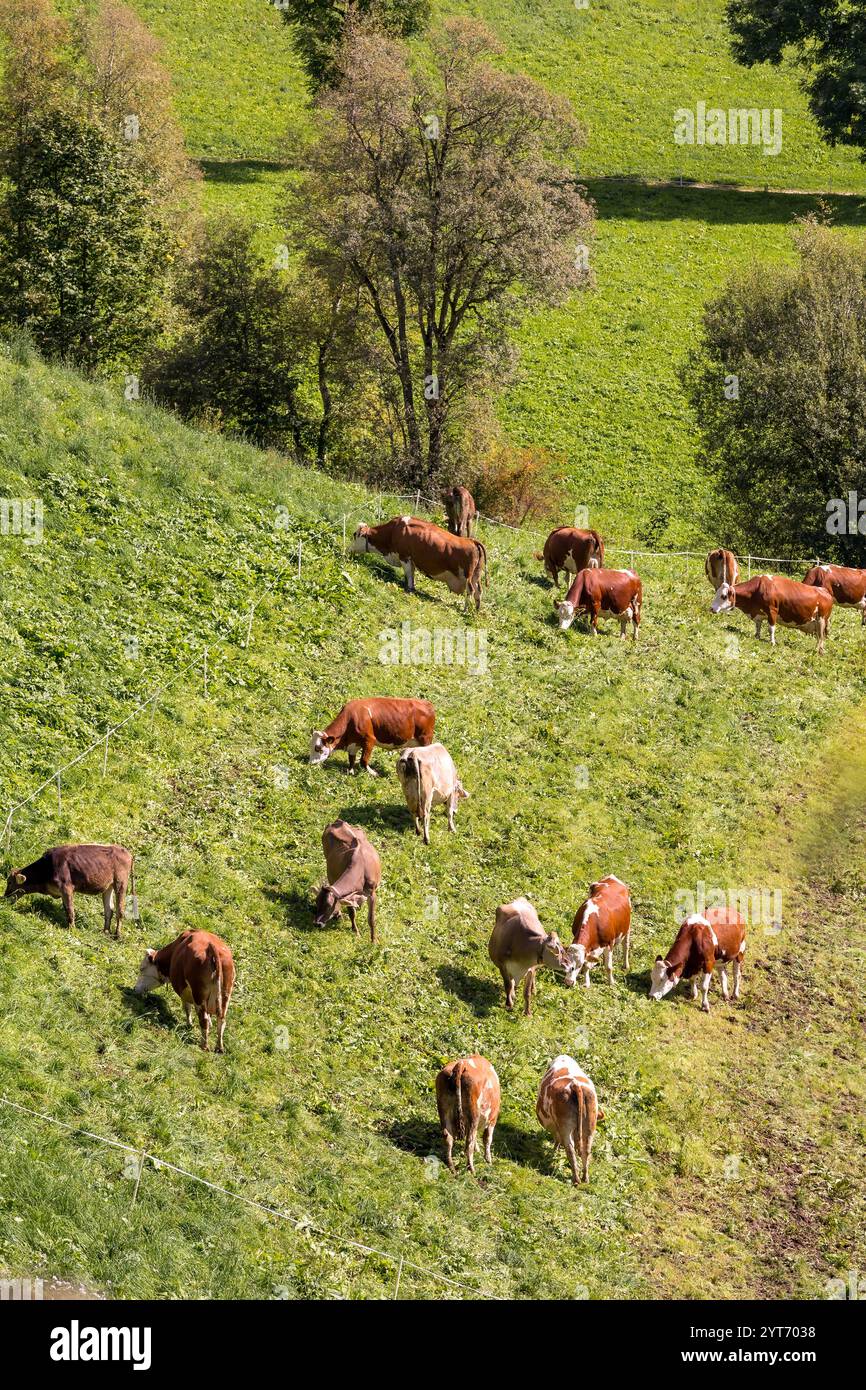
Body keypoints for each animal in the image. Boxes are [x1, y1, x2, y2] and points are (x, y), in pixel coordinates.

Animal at [4, 843, 134, 937]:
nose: (5, 896)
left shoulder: (66, 887)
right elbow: (66, 908)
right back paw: (105, 932)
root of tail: (127, 852)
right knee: (109, 909)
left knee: (120, 910)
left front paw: (72, 929)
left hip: (121, 882)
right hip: (108, 886)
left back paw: (117, 935)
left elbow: (70, 909)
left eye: (9, 882)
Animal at [352, 515, 487, 610]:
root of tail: (471, 541)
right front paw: (408, 585)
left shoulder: (405, 556)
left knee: (471, 590)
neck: (394, 530)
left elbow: (409, 573)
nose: (348, 549)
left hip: (467, 575)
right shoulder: (410, 559)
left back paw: (465, 609)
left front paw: (410, 588)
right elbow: (410, 574)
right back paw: (476, 610)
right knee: (479, 591)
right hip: (476, 576)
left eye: (354, 535)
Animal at [536, 1055, 602, 1185]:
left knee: (570, 1149)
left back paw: (576, 1180)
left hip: (565, 1126)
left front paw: (554, 1152)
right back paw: (585, 1179)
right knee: (586, 1150)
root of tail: (574, 1084)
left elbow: (557, 1140)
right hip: (590, 1126)